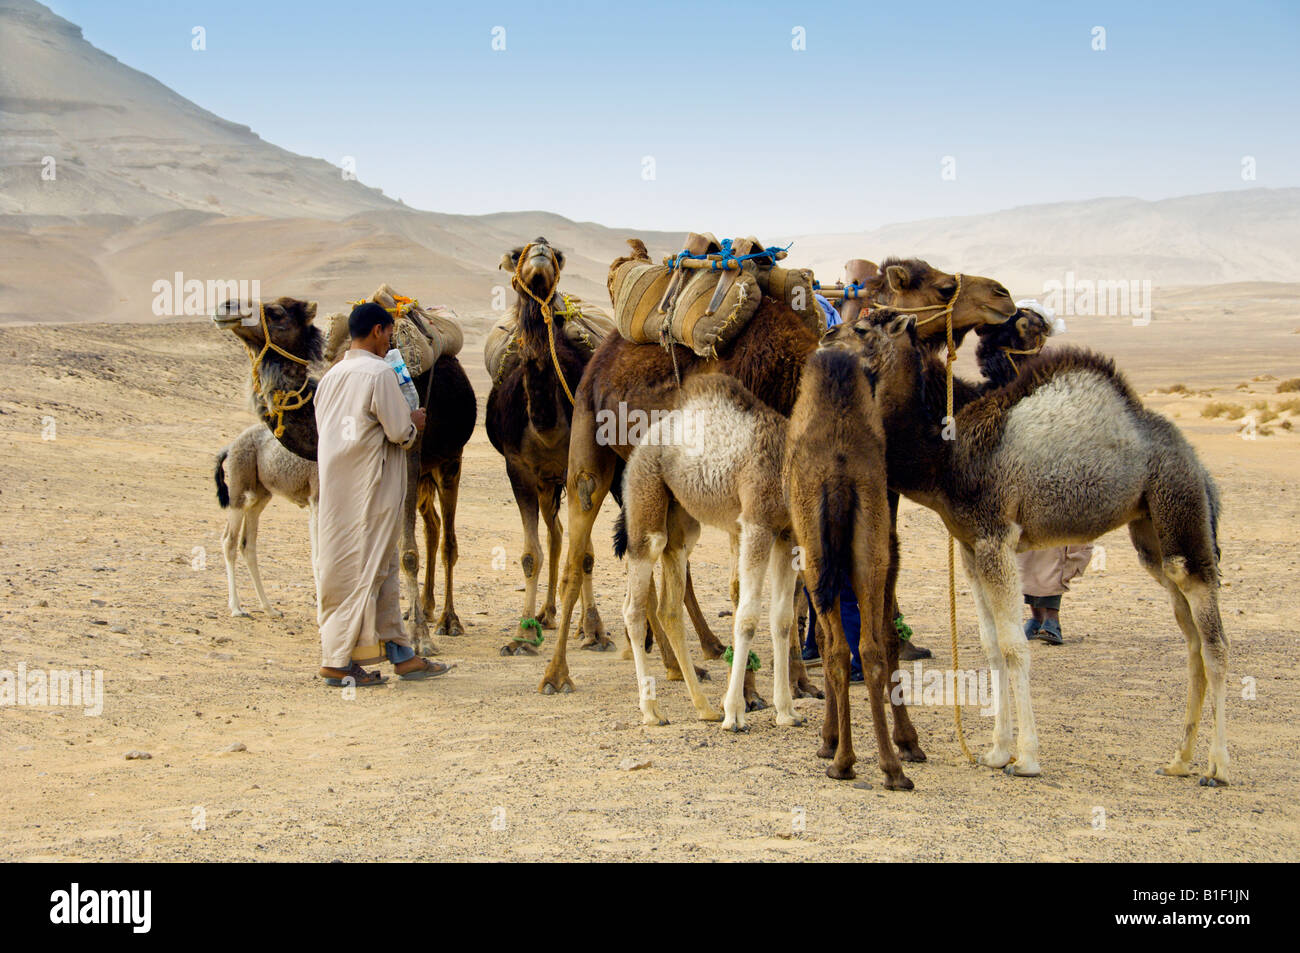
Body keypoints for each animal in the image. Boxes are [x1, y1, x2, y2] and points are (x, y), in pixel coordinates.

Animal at [214, 424, 319, 617]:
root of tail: (231, 447)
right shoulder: (316, 499)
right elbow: (318, 557)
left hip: (260, 495)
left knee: (247, 544)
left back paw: (270, 609)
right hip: (239, 491)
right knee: (229, 541)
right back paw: (236, 608)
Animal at [485, 238, 607, 655]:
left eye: (557, 253)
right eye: (516, 252)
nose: (539, 245)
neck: (548, 426)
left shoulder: (583, 470)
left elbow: (585, 553)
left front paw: (594, 629)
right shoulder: (519, 469)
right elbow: (529, 555)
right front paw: (522, 633)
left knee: (564, 536)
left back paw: (572, 621)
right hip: (543, 481)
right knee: (553, 535)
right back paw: (546, 614)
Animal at [615, 373, 805, 731]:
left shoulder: (787, 534)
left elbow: (782, 619)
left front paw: (787, 712)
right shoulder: (757, 523)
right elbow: (747, 616)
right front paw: (735, 713)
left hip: (683, 528)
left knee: (669, 608)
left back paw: (703, 707)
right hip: (644, 502)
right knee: (634, 606)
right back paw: (652, 711)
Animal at [845, 311, 1229, 785]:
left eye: (861, 329)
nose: (827, 335)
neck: (947, 455)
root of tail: (1198, 465)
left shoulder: (996, 537)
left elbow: (1013, 646)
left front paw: (1025, 758)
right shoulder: (971, 546)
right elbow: (992, 645)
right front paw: (995, 752)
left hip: (1180, 502)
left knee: (1213, 640)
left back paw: (1217, 766)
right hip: (1151, 531)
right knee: (1191, 638)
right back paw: (1179, 759)